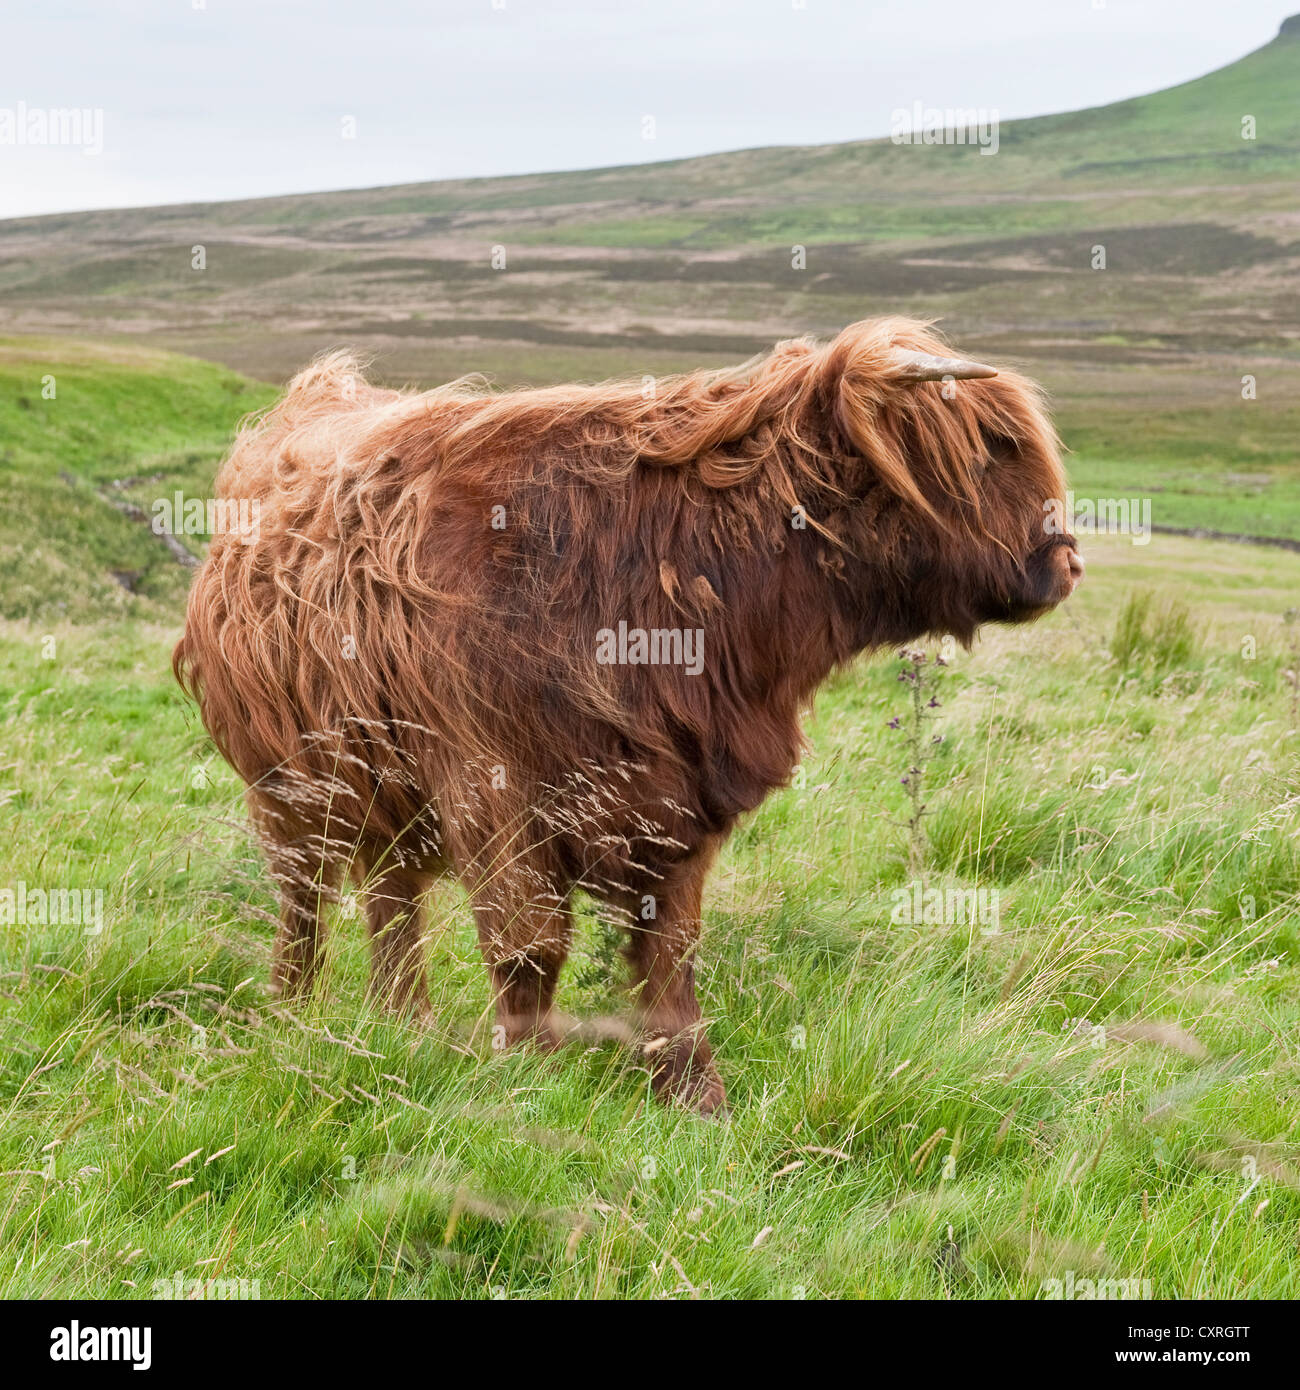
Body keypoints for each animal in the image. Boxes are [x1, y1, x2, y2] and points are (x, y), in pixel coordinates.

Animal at [174, 316, 1082, 1114]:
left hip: (384, 783)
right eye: (988, 449)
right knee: (305, 899)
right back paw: (295, 1010)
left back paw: (404, 1022)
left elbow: (669, 954)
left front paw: (693, 1095)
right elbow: (529, 949)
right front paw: (530, 1081)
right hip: (288, 786)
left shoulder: (674, 797)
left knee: (390, 899)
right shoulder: (494, 790)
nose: (1068, 561)